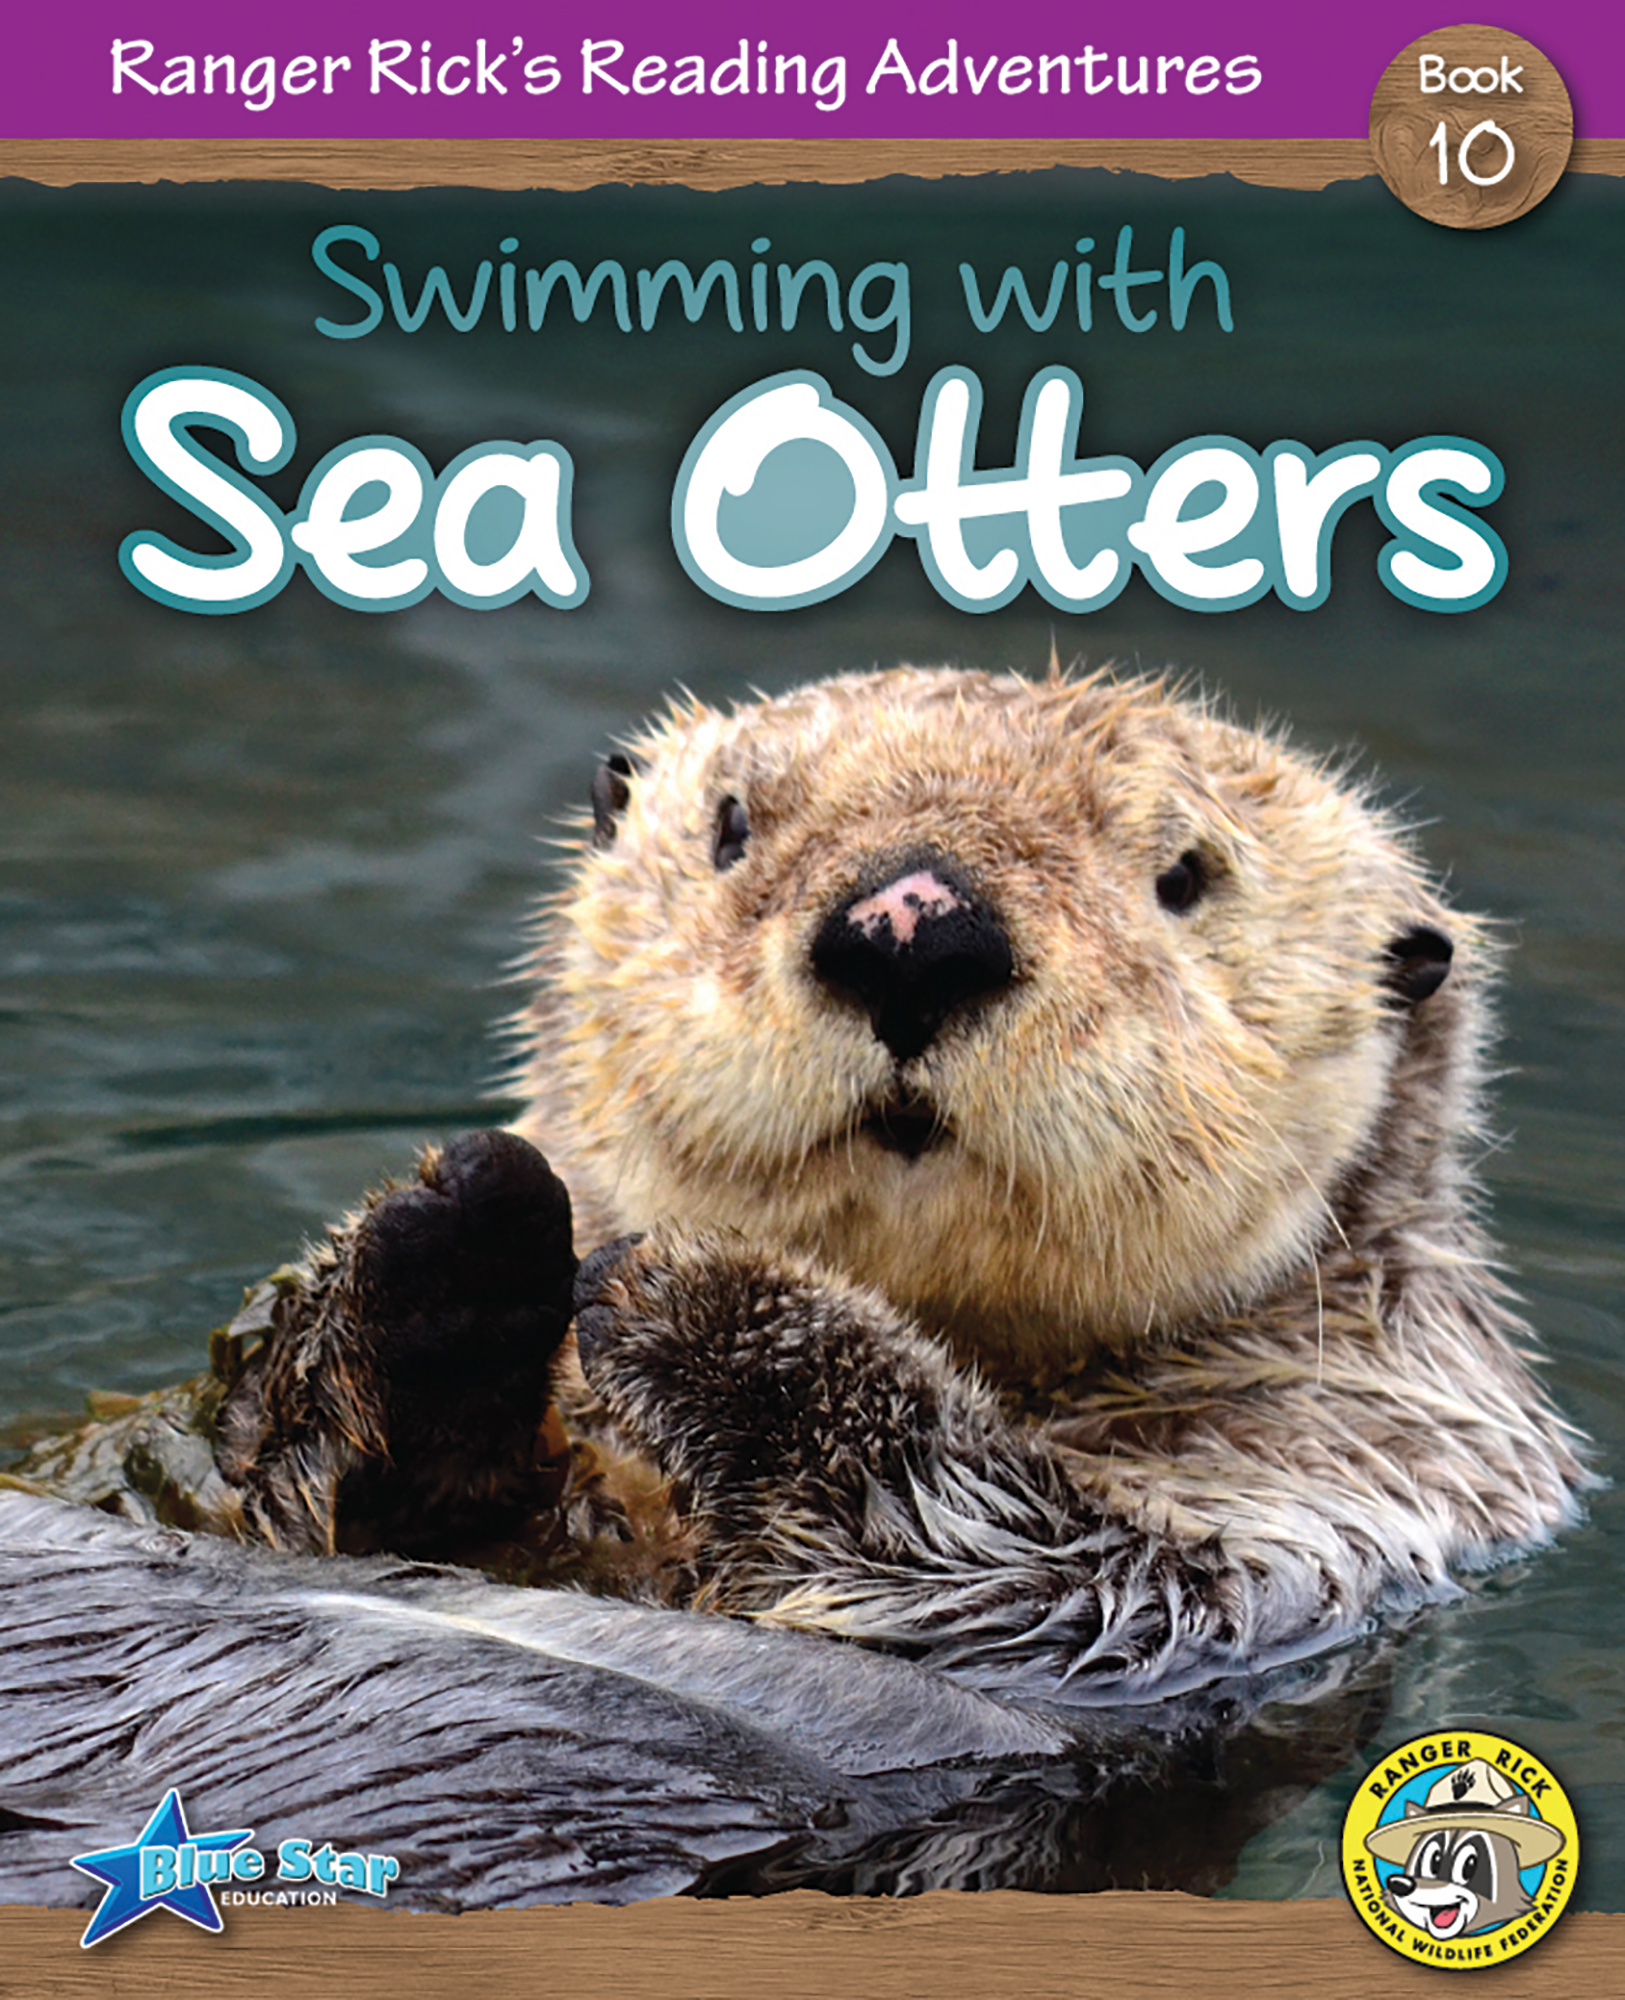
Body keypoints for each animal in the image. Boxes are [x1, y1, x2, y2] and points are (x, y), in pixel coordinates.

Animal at [10, 665, 1587, 1700]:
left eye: (1186, 875)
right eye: (730, 826)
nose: (911, 925)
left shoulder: (1357, 1475)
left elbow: (1065, 1573)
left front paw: (696, 1299)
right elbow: (176, 1471)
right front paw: (449, 1248)